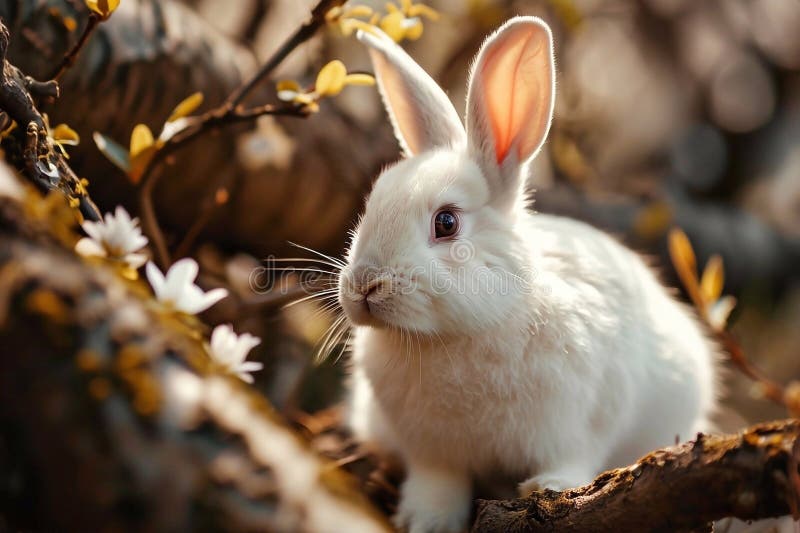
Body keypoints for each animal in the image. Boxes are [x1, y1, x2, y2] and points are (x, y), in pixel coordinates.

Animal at [337, 16, 718, 533]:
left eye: (446, 222)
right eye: (372, 203)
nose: (363, 285)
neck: (455, 335)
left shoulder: (581, 422)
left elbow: (573, 458)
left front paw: (550, 487)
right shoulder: (432, 452)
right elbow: (439, 480)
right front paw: (426, 518)